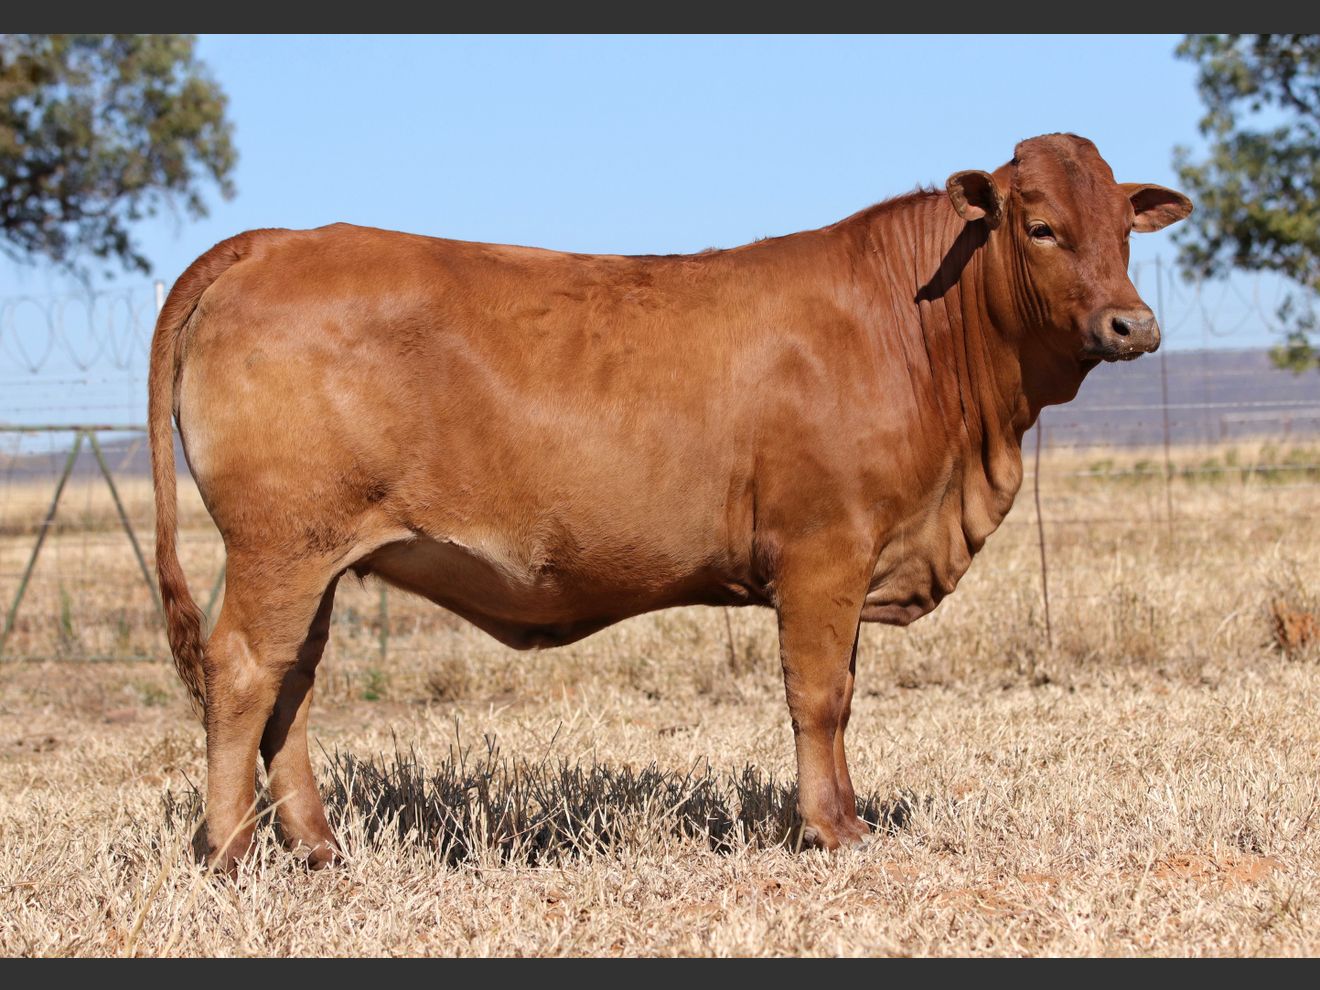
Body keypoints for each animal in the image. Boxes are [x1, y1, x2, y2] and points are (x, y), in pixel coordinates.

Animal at [148, 133, 1191, 871]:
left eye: (1124, 230)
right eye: (1041, 225)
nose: (1132, 325)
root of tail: (280, 241)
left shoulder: (853, 563)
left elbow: (845, 696)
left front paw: (848, 814)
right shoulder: (824, 550)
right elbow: (819, 695)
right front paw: (831, 830)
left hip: (316, 558)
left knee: (292, 684)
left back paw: (319, 848)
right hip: (282, 546)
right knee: (243, 672)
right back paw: (229, 852)